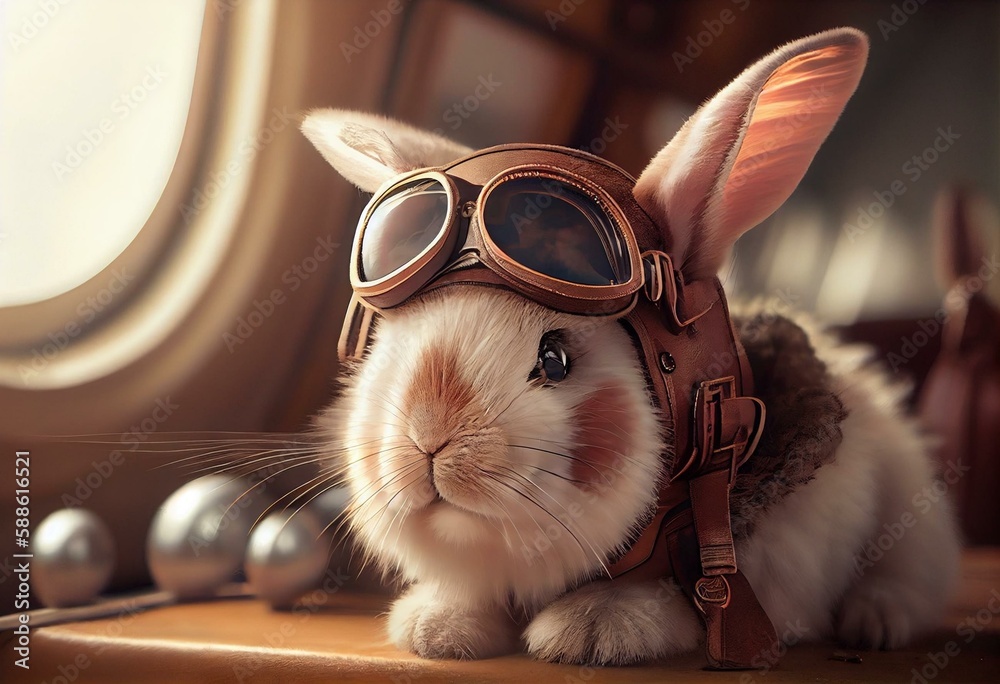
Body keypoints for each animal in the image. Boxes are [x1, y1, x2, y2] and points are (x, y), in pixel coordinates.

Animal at [302, 27, 960, 665]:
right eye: (394, 345)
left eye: (555, 359)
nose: (428, 439)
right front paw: (436, 629)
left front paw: (591, 631)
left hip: (912, 518)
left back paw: (875, 620)